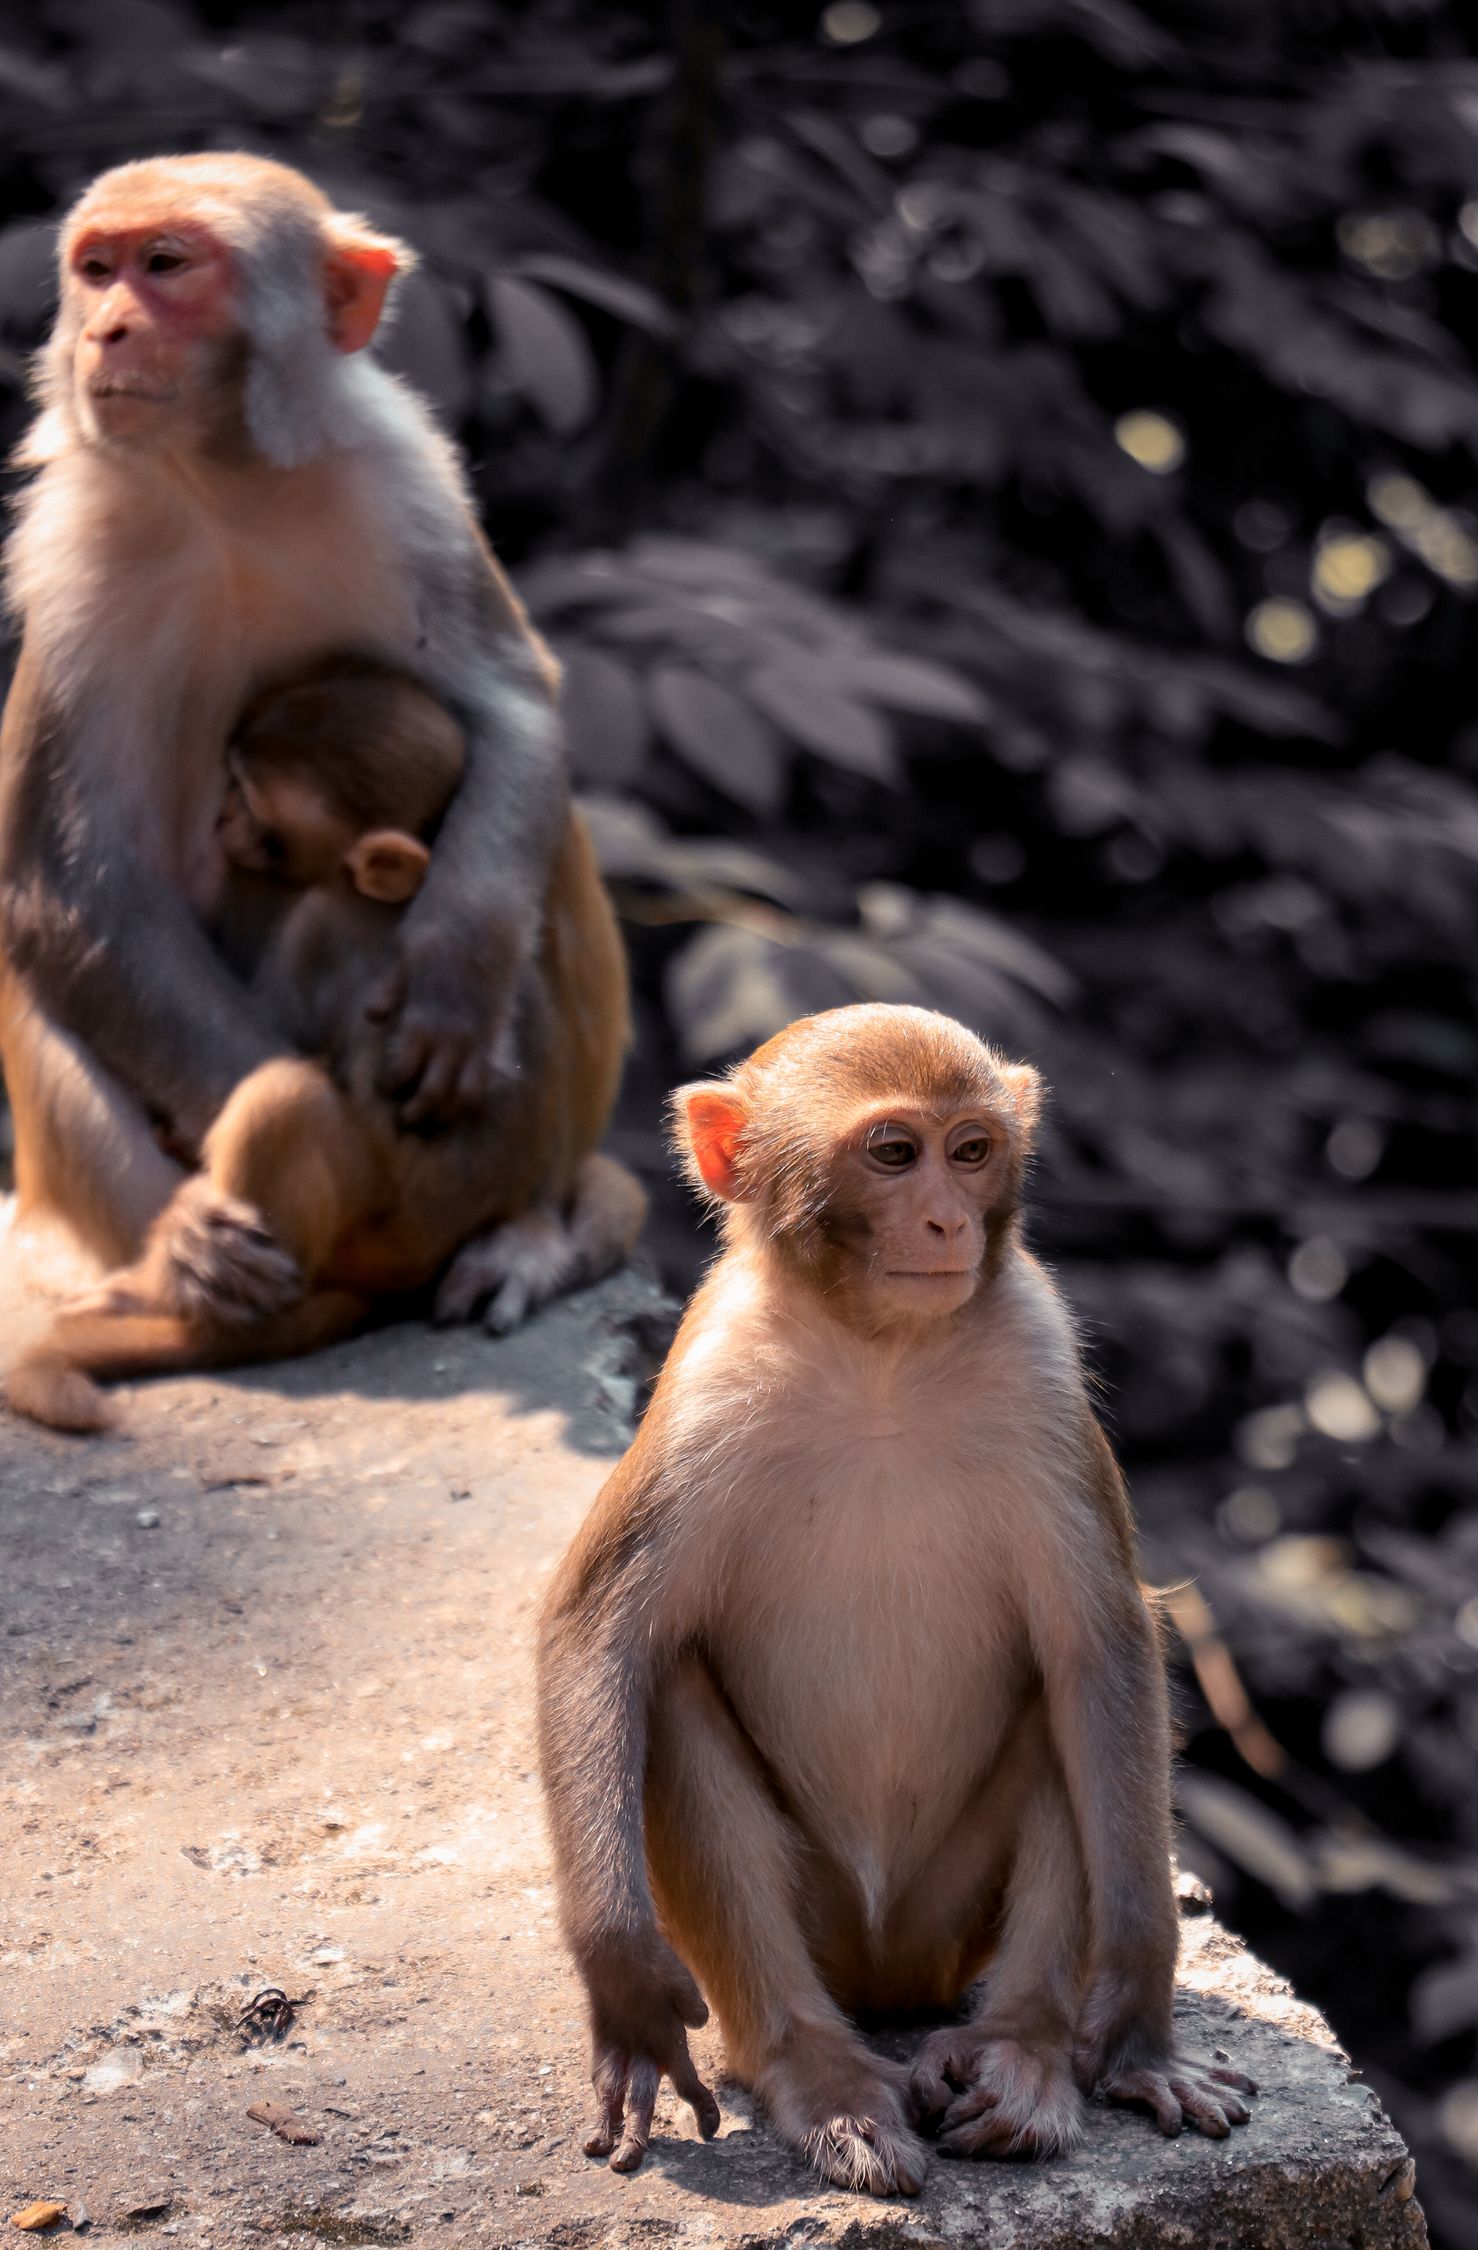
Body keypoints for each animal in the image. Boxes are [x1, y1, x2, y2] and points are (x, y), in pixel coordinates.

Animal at [0, 152, 571, 1326]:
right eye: (96, 270)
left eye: (166, 265)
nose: (104, 331)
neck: (223, 485)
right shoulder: (63, 560)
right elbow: (66, 883)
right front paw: (312, 1164)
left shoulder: (409, 486)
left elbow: (513, 704)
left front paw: (456, 977)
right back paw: (170, 1255)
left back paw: (528, 1228)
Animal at [5, 659, 645, 1432]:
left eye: (259, 812)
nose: (222, 822)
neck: (380, 898)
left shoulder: (314, 925)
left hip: (376, 1231)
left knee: (285, 1101)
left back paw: (177, 1295)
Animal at [535, 1004, 1255, 2197]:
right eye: (890, 1152)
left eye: (970, 1150)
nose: (944, 1219)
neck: (879, 1358)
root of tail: (882, 1981)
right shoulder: (707, 1382)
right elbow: (600, 1636)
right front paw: (625, 1982)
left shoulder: (1040, 1362)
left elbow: (1099, 1648)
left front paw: (1138, 2031)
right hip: (826, 1930)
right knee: (670, 1689)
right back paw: (819, 2075)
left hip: (943, 1928)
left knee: (1065, 1705)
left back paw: (1020, 2056)